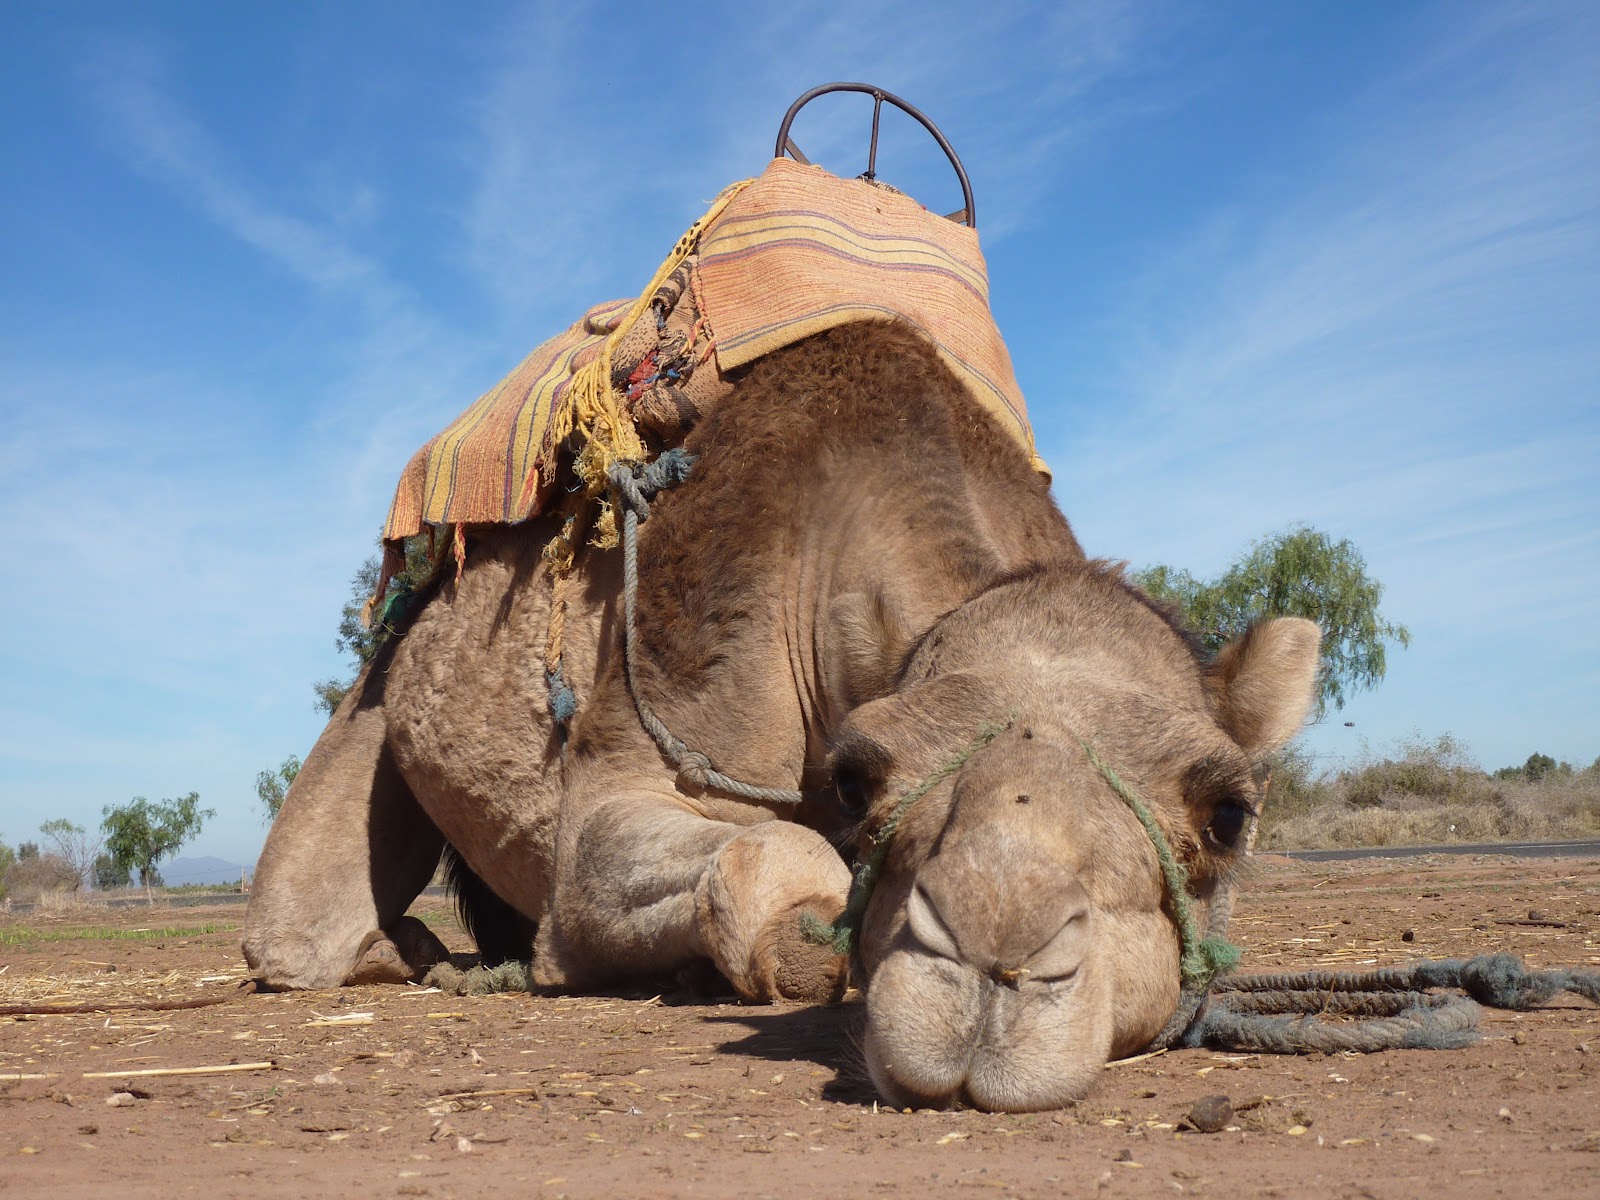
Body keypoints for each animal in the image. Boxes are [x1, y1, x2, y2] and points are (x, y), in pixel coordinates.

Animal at [244, 320, 1319, 1111]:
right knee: (298, 928)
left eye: (1229, 812)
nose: (992, 953)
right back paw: (403, 954)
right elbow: (759, 869)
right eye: (860, 780)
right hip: (374, 700)